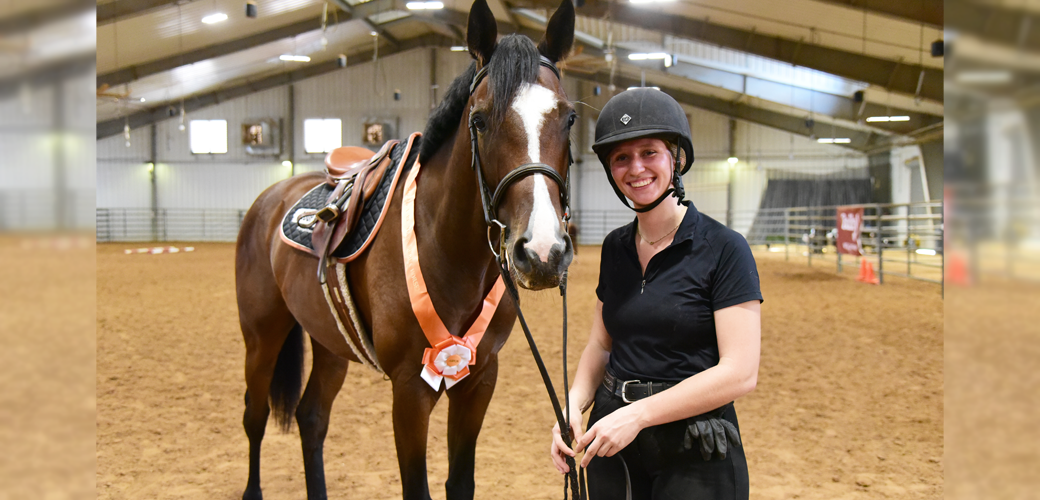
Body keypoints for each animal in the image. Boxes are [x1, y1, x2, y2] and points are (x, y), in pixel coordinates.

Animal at [233, 0, 576, 498]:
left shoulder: (480, 380)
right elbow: (418, 487)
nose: (543, 251)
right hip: (262, 335)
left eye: (569, 118)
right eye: (479, 119)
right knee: (255, 417)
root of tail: (270, 198)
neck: (447, 251)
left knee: (311, 417)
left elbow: (460, 481)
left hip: (330, 343)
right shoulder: (409, 391)